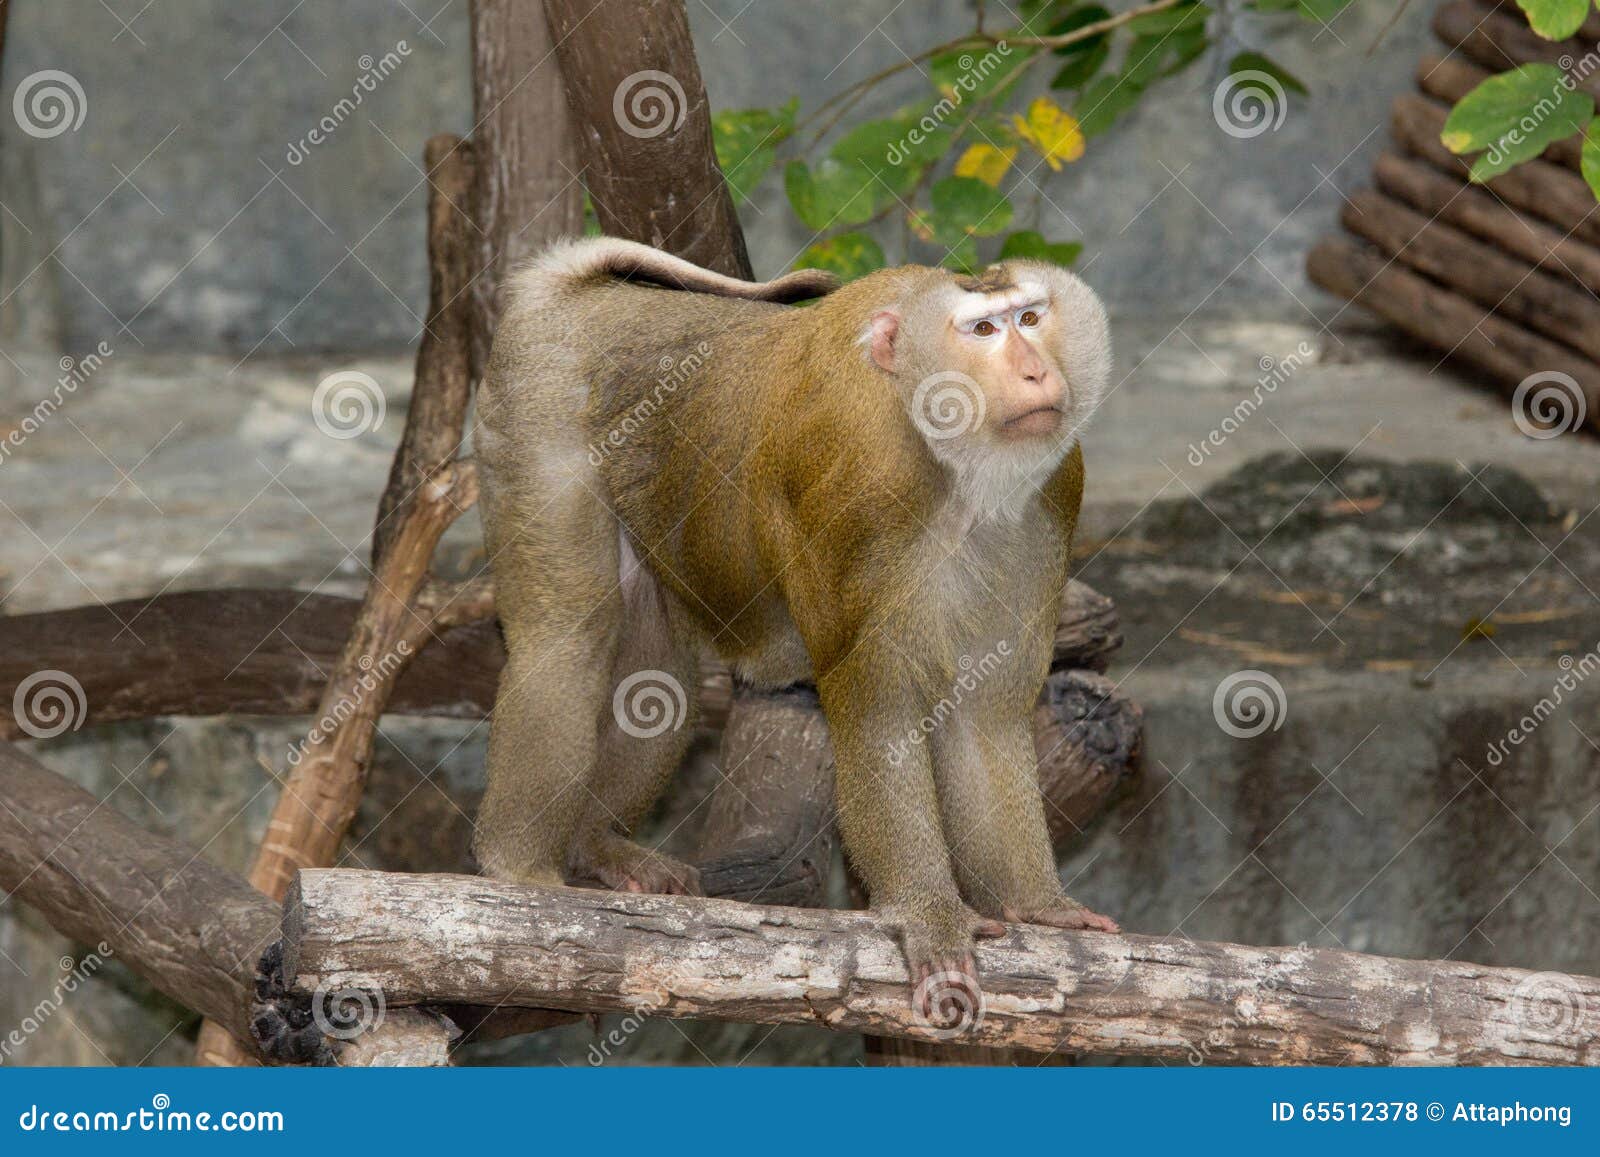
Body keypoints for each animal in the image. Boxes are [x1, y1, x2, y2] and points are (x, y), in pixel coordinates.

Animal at [472, 237, 1119, 1013]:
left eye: (1030, 317)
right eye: (984, 330)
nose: (1034, 370)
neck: (956, 472)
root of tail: (582, 297)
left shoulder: (1052, 499)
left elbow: (984, 715)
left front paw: (1039, 906)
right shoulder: (866, 496)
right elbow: (874, 712)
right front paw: (927, 915)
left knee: (660, 672)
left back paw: (594, 844)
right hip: (537, 418)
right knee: (569, 636)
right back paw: (517, 866)